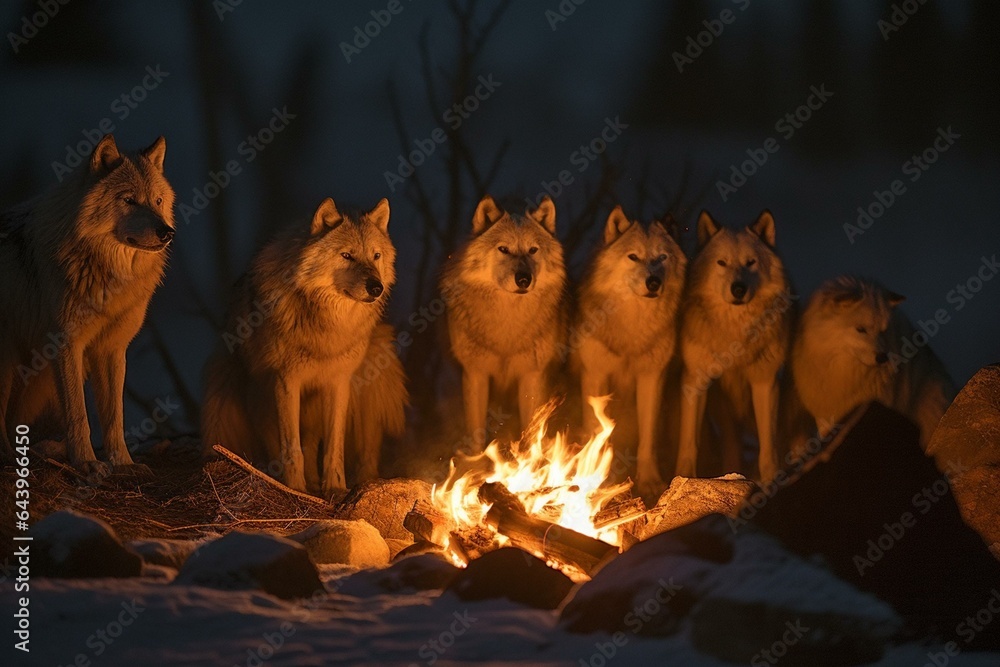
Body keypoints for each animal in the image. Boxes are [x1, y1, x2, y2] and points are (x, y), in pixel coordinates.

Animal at [0, 134, 174, 474]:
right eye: (129, 200)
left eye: (158, 201)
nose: (167, 232)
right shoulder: (66, 345)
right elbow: (78, 414)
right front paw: (85, 462)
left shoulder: (112, 349)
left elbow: (114, 416)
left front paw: (123, 462)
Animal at [201, 198, 406, 497]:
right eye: (347, 256)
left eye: (376, 256)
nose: (376, 287)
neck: (326, 327)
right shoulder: (287, 381)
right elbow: (291, 447)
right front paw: (295, 488)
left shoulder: (338, 382)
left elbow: (333, 446)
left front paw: (335, 488)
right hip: (256, 395)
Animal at [441, 195, 567, 449]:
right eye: (504, 249)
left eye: (533, 250)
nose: (524, 279)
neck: (507, 327)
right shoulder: (475, 374)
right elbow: (476, 432)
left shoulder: (531, 376)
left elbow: (531, 431)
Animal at [573, 206, 687, 495]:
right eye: (633, 256)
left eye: (662, 257)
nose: (654, 282)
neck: (631, 329)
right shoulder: (595, 375)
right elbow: (597, 430)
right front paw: (599, 478)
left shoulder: (651, 378)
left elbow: (648, 437)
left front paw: (649, 481)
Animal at [676, 210, 794, 483]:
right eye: (722, 263)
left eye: (751, 263)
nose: (738, 288)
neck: (735, 332)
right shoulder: (695, 381)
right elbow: (689, 442)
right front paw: (683, 477)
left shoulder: (765, 382)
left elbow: (768, 445)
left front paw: (770, 480)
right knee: (731, 444)